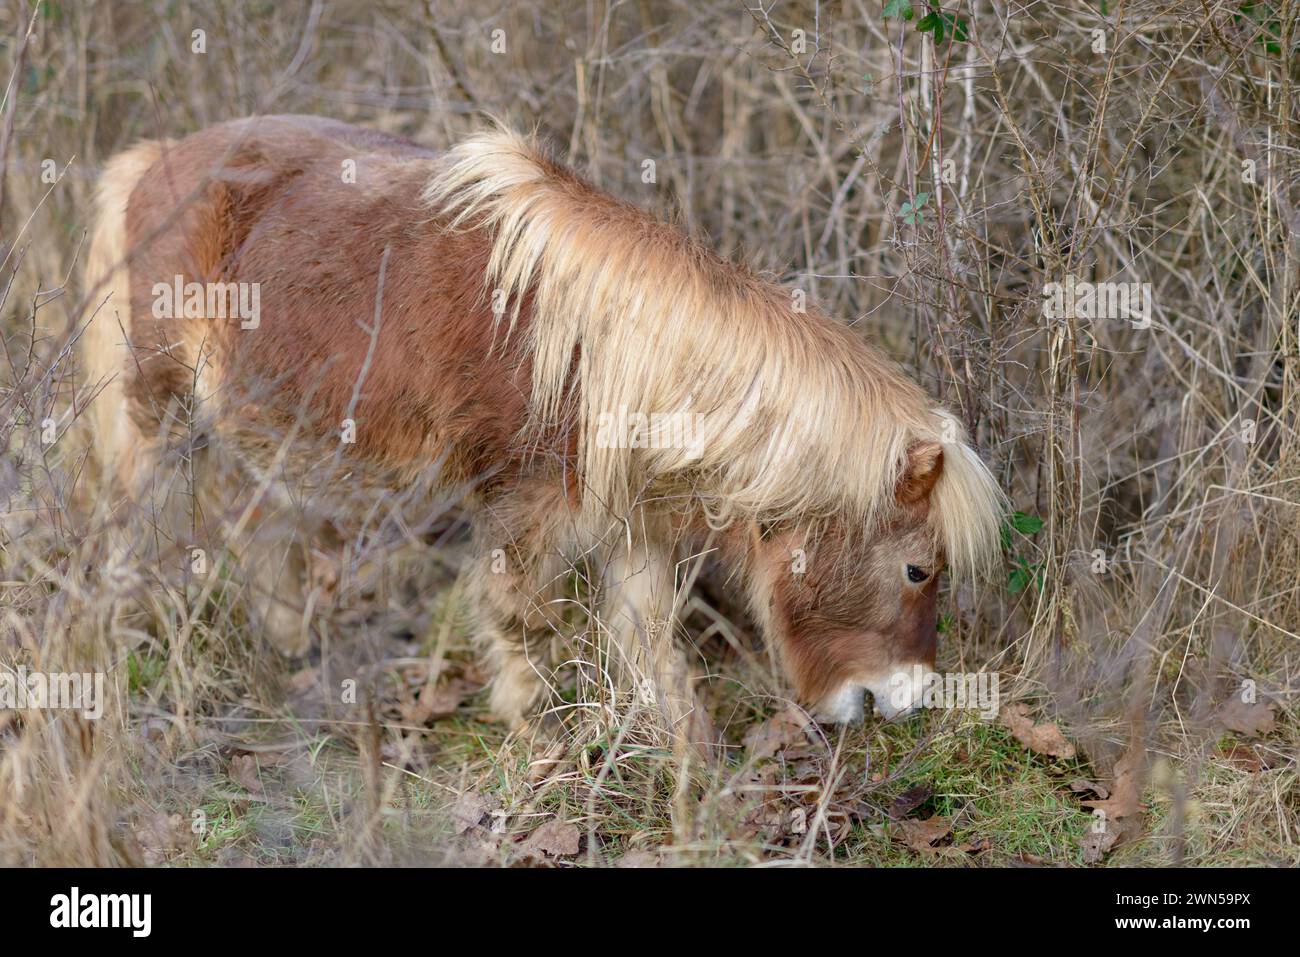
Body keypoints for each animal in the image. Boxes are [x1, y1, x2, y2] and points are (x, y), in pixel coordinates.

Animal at [82, 115, 1005, 747]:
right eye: (919, 568)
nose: (904, 699)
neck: (605, 352)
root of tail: (154, 158)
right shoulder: (521, 505)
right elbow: (523, 625)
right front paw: (538, 740)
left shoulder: (632, 521)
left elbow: (650, 639)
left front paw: (688, 761)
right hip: (162, 414)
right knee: (130, 529)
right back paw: (126, 658)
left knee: (262, 531)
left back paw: (294, 661)